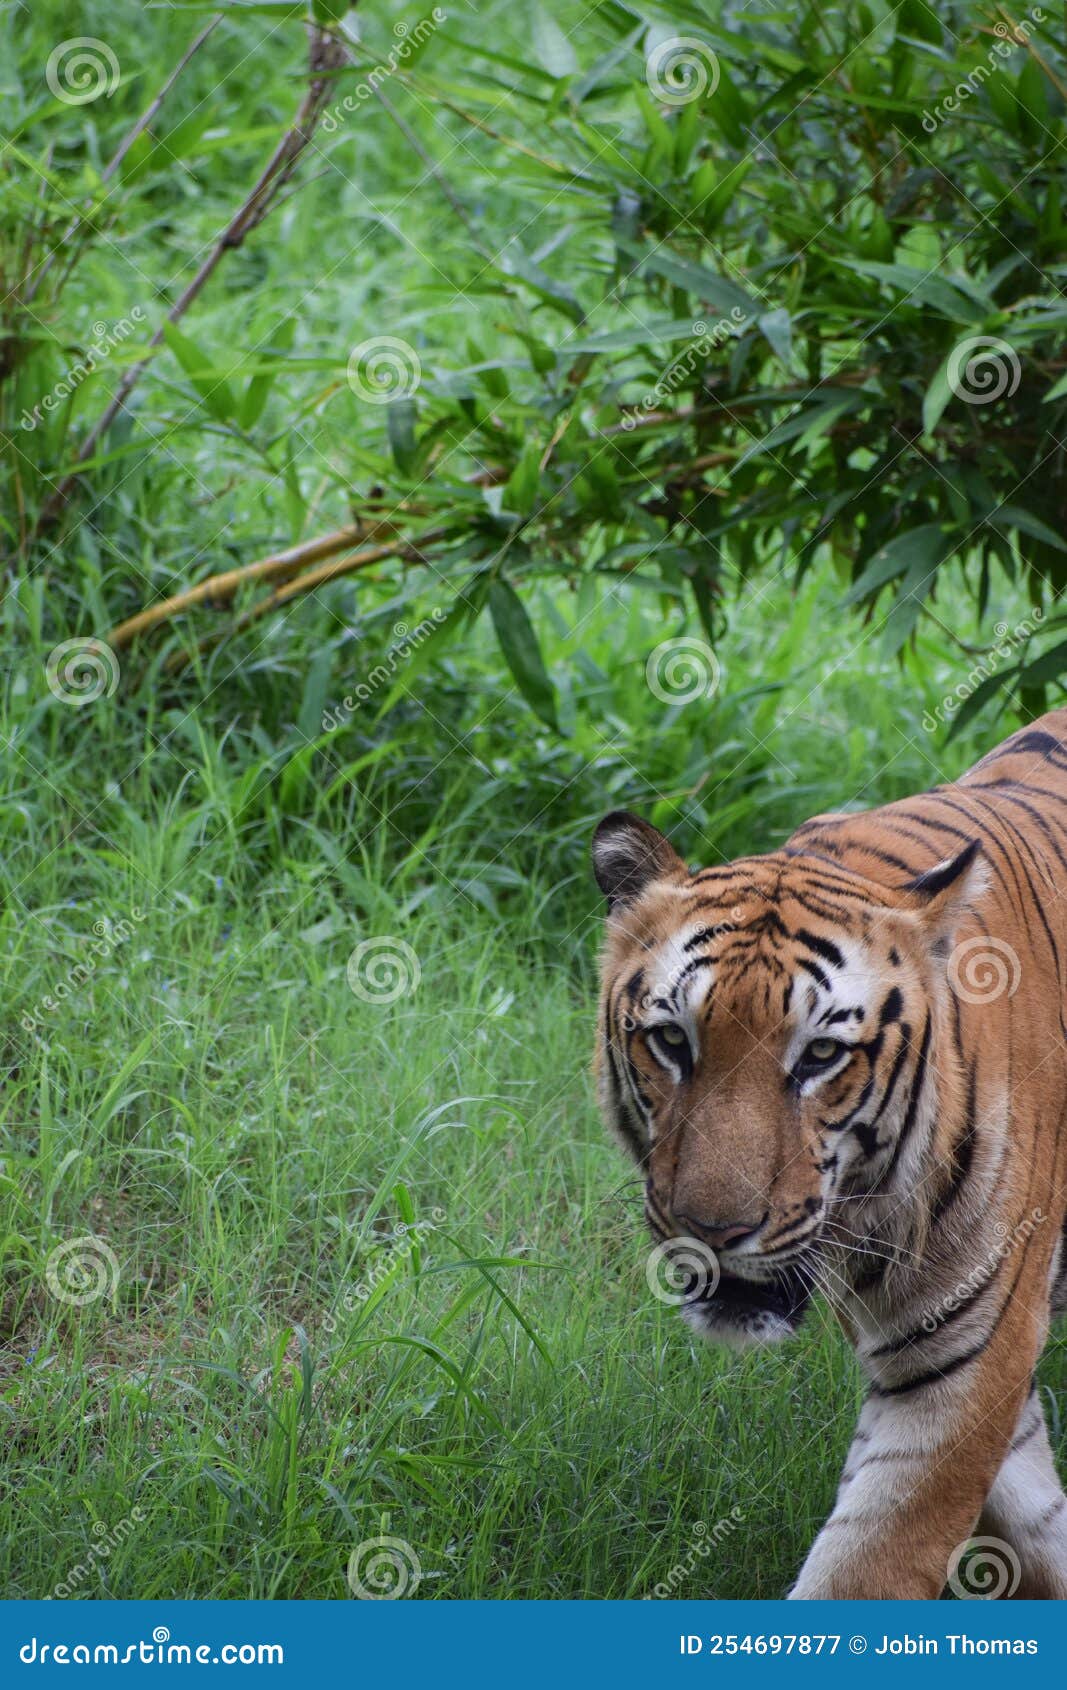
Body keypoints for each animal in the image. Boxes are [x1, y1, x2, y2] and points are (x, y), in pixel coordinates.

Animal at [593, 708, 1067, 1600]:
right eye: (671, 1041)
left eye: (818, 1056)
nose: (713, 1231)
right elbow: (1037, 1521)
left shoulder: (963, 1371)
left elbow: (866, 1567)